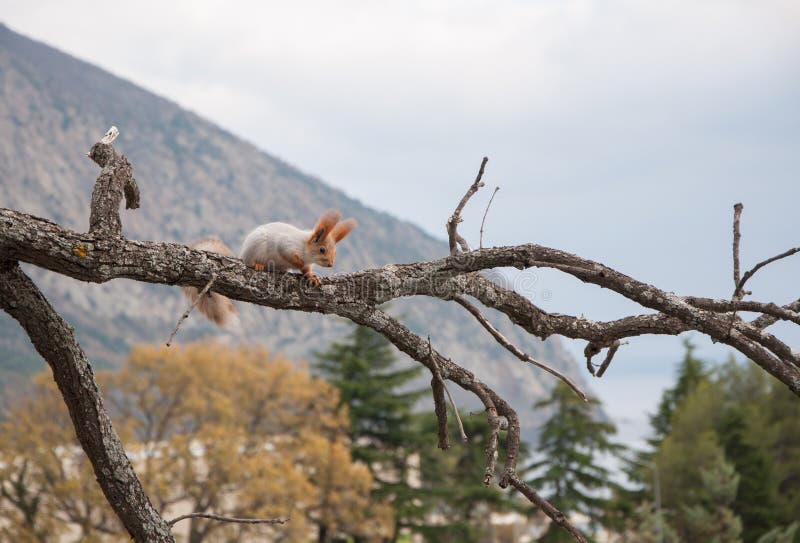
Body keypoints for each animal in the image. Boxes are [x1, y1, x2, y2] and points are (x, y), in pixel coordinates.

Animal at [184, 209, 356, 326]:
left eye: (335, 251)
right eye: (322, 249)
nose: (331, 264)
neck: (305, 248)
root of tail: (242, 255)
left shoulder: (308, 263)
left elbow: (306, 270)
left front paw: (311, 277)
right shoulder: (285, 246)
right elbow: (290, 257)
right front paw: (298, 264)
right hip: (255, 250)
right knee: (252, 261)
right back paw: (258, 264)